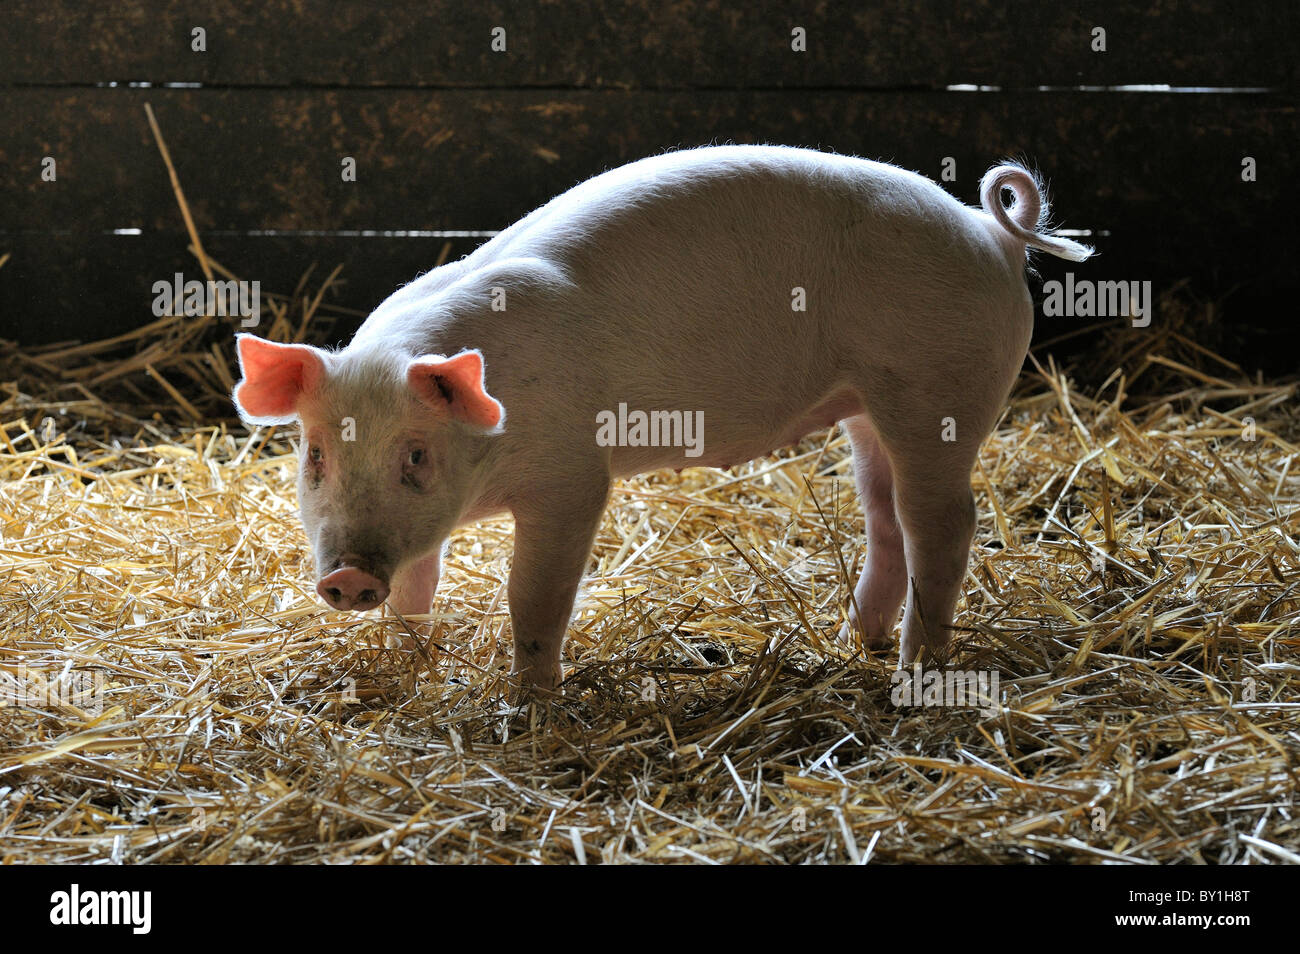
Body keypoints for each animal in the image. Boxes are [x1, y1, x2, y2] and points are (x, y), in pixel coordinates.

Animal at [232, 145, 1092, 691]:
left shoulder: (571, 479)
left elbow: (535, 596)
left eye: (415, 454)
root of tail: (992, 236)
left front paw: (532, 699)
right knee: (886, 519)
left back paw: (913, 672)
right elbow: (420, 579)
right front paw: (408, 658)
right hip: (869, 410)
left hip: (938, 394)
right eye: (315, 455)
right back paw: (859, 643)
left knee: (943, 525)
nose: (345, 575)